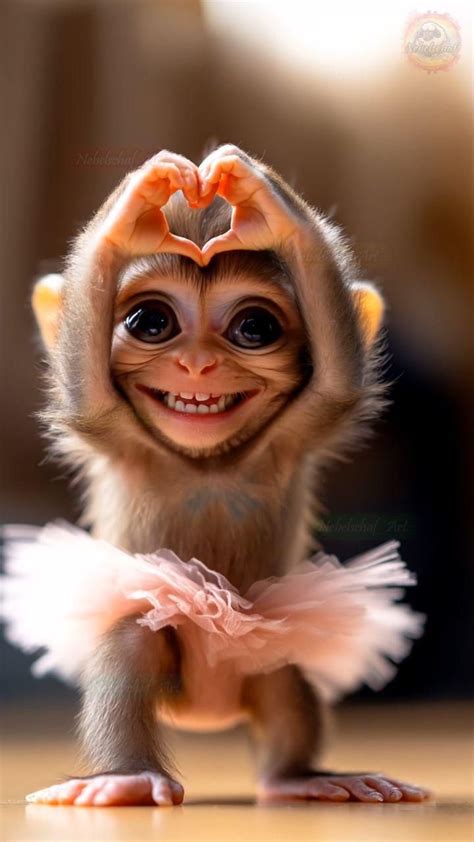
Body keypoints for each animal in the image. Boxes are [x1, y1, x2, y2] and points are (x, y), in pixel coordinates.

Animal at [14, 146, 428, 806]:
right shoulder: (113, 429)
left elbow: (337, 379)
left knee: (284, 677)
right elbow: (86, 384)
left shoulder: (297, 431)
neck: (205, 460)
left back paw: (297, 778)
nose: (198, 365)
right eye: (150, 322)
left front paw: (269, 203)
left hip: (261, 656)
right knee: (133, 640)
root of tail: (208, 714)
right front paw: (130, 212)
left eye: (254, 328)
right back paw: (126, 777)